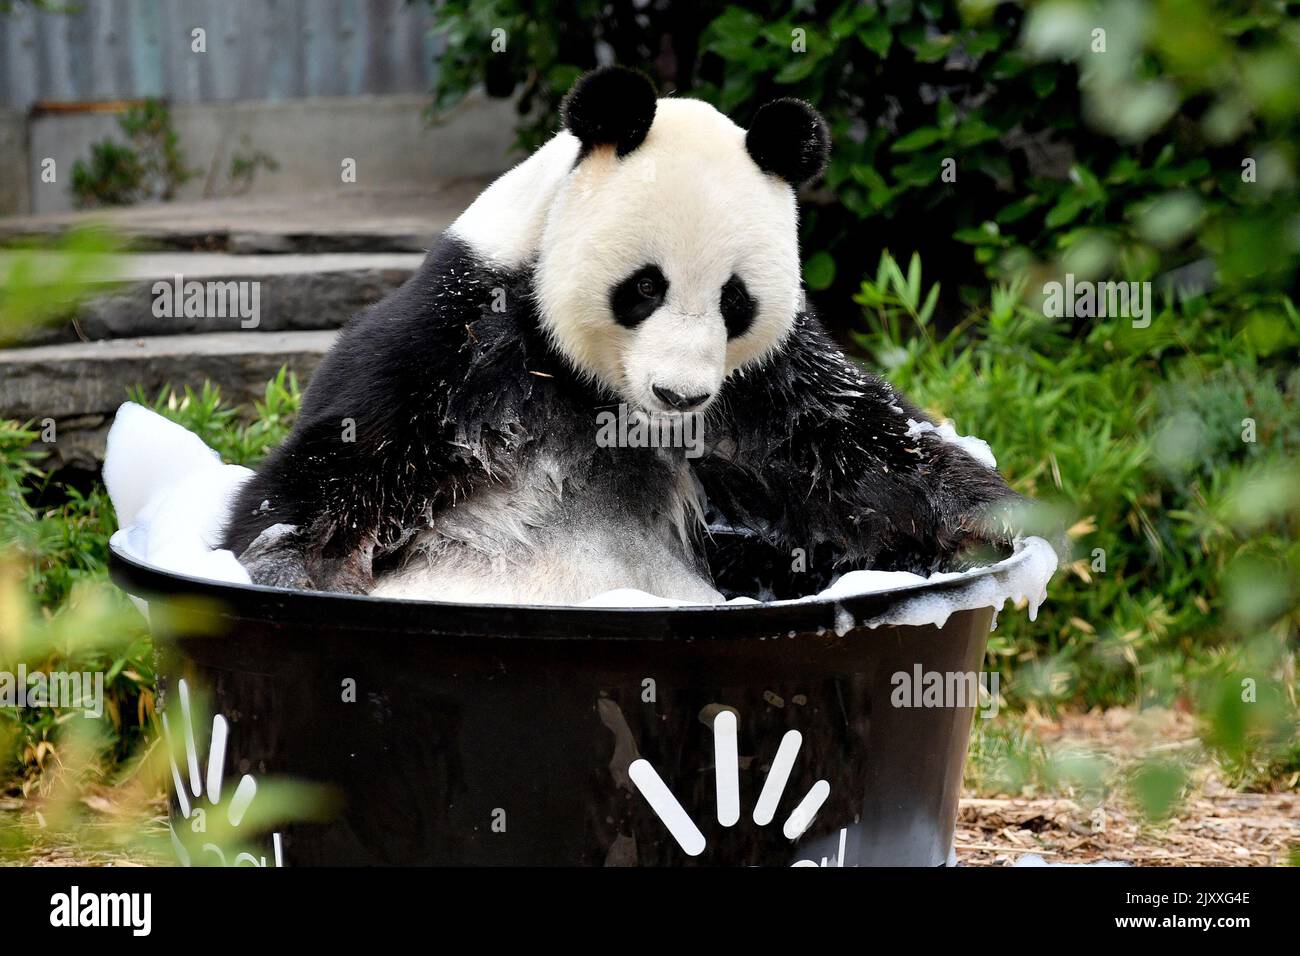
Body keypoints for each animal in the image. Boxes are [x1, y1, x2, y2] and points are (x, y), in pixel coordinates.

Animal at [221, 66, 1016, 605]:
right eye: (644, 287)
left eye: (735, 300)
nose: (679, 395)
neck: (602, 396)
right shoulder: (458, 343)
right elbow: (343, 462)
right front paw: (291, 566)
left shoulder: (762, 383)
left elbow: (855, 446)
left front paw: (991, 519)